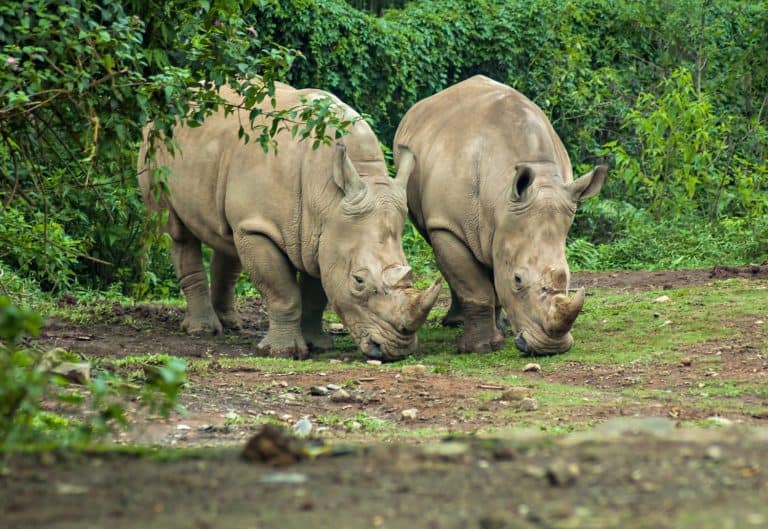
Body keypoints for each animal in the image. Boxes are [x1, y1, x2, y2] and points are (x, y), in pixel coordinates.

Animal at [138, 81, 440, 361]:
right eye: (359, 281)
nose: (396, 351)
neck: (329, 196)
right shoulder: (264, 228)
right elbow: (283, 292)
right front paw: (283, 352)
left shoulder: (323, 233)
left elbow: (316, 294)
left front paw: (318, 345)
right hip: (155, 144)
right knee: (177, 232)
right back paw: (203, 330)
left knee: (229, 237)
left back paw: (232, 324)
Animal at [394, 75, 606, 355]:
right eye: (517, 279)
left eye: (567, 277)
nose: (550, 348)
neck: (501, 200)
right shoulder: (447, 224)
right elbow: (474, 285)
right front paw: (481, 348)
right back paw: (456, 323)